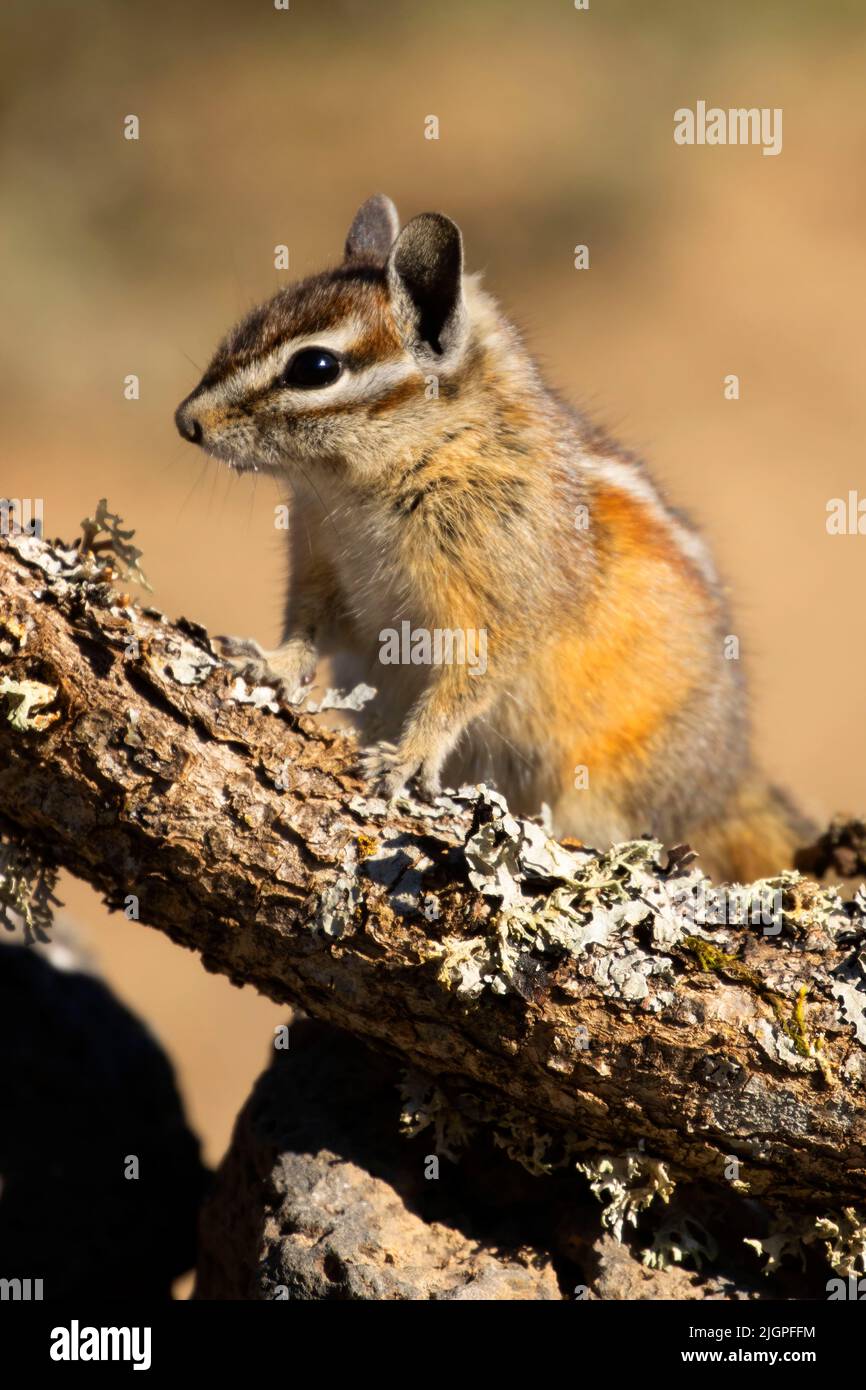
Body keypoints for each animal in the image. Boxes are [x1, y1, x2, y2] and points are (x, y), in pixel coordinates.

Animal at [175, 193, 812, 883]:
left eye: (314, 367)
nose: (187, 422)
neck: (359, 486)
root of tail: (726, 786)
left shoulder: (495, 602)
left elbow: (466, 682)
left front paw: (409, 755)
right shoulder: (320, 563)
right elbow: (309, 629)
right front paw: (270, 663)